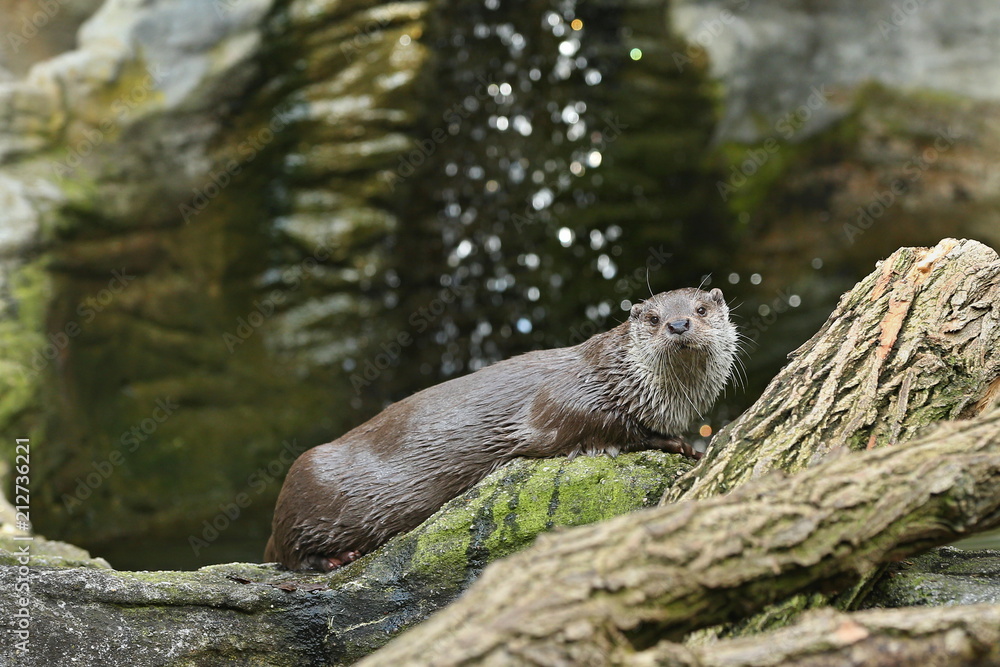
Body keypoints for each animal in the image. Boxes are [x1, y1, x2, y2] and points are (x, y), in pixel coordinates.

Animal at [265, 287, 737, 571]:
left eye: (700, 309)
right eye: (654, 318)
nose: (679, 324)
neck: (622, 379)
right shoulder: (570, 399)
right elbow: (602, 429)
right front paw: (676, 443)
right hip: (306, 478)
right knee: (289, 555)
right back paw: (336, 558)